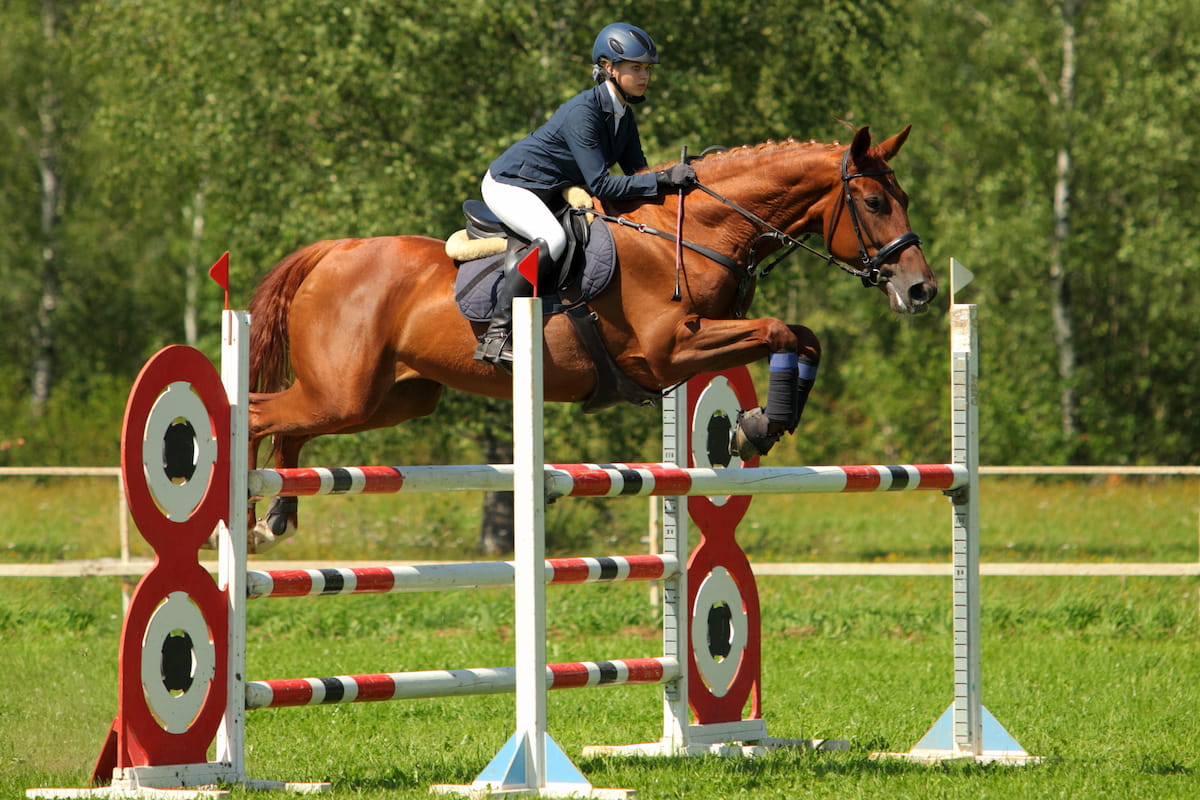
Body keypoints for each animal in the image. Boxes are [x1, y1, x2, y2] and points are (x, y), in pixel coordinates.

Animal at [243, 125, 936, 552]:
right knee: (255, 415)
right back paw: (247, 522)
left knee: (289, 426)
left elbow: (805, 336)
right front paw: (757, 427)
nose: (922, 289)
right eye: (875, 203)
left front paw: (764, 423)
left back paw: (279, 515)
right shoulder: (669, 351)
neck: (700, 231)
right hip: (346, 393)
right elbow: (778, 329)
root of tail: (333, 252)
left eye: (901, 196)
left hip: (391, 399)